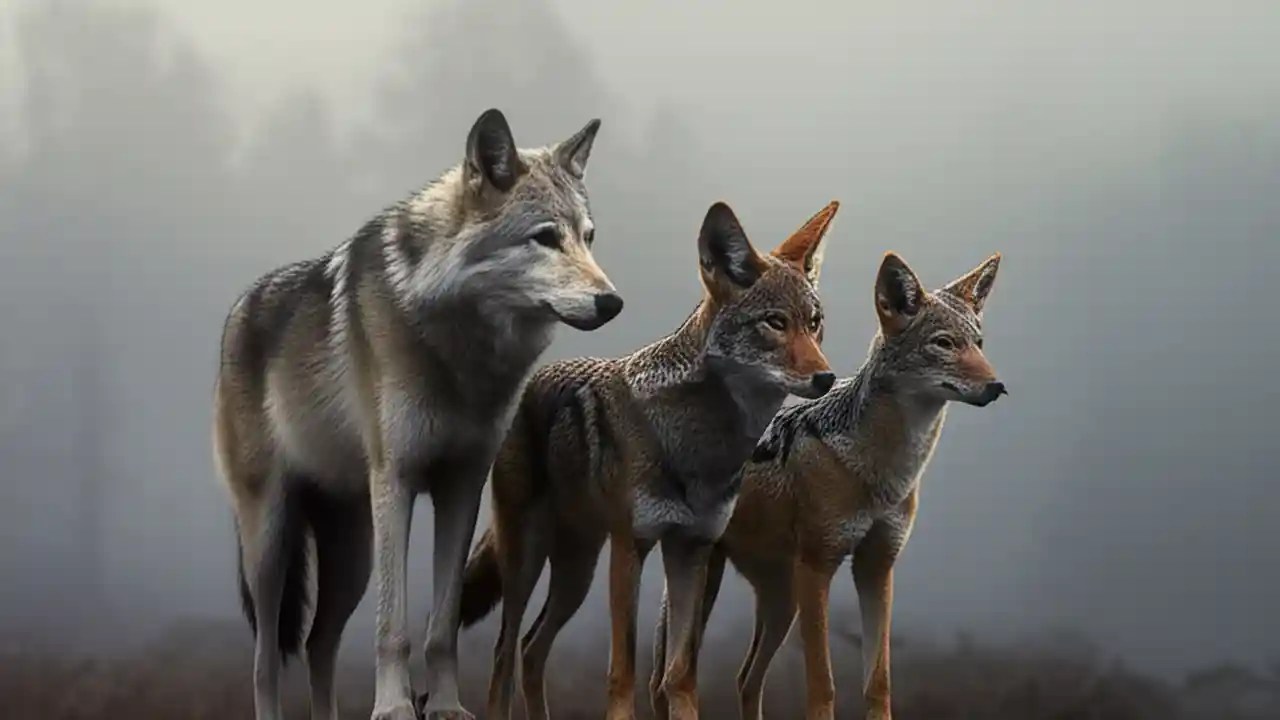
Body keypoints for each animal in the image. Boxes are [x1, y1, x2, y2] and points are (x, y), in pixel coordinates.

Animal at [212, 108, 621, 720]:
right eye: (546, 238)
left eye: (588, 238)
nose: (611, 301)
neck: (459, 352)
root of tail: (240, 308)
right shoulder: (397, 482)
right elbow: (394, 626)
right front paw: (393, 708)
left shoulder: (461, 487)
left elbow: (442, 623)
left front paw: (446, 705)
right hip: (272, 544)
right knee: (265, 658)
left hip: (351, 555)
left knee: (318, 643)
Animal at [457, 200, 842, 720]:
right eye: (775, 322)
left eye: (814, 322)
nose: (826, 377)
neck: (702, 448)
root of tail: (535, 380)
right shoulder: (632, 546)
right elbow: (623, 670)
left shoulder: (691, 551)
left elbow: (678, 675)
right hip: (527, 561)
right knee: (503, 654)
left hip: (577, 571)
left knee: (531, 648)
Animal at [650, 251, 1007, 720]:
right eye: (944, 344)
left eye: (978, 344)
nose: (997, 385)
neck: (882, 472)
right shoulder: (819, 566)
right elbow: (822, 683)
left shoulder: (877, 567)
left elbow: (878, 682)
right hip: (715, 587)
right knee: (666, 680)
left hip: (781, 600)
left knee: (745, 678)